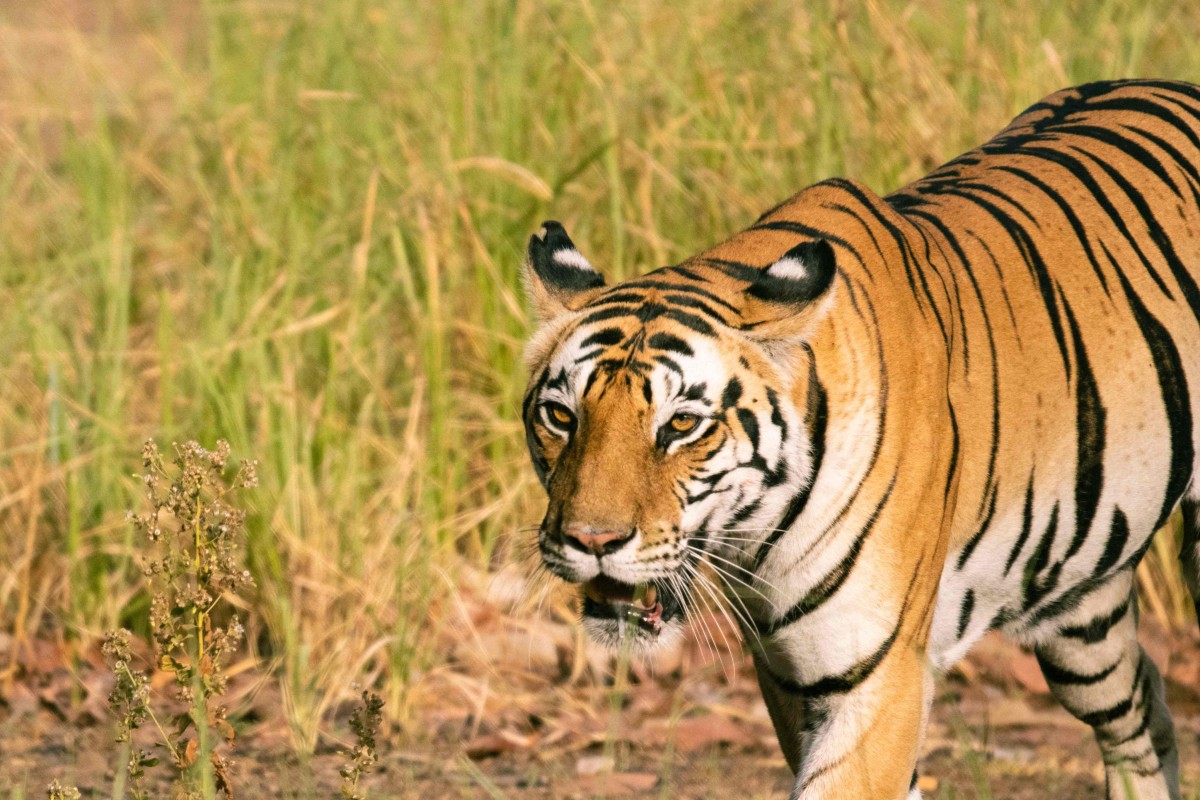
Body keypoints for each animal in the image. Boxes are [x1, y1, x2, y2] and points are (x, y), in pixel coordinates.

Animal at [520, 79, 1200, 799]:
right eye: (561, 416)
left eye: (680, 425)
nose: (591, 542)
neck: (758, 538)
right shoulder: (793, 679)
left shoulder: (875, 672)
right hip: (1078, 605)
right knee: (1141, 707)